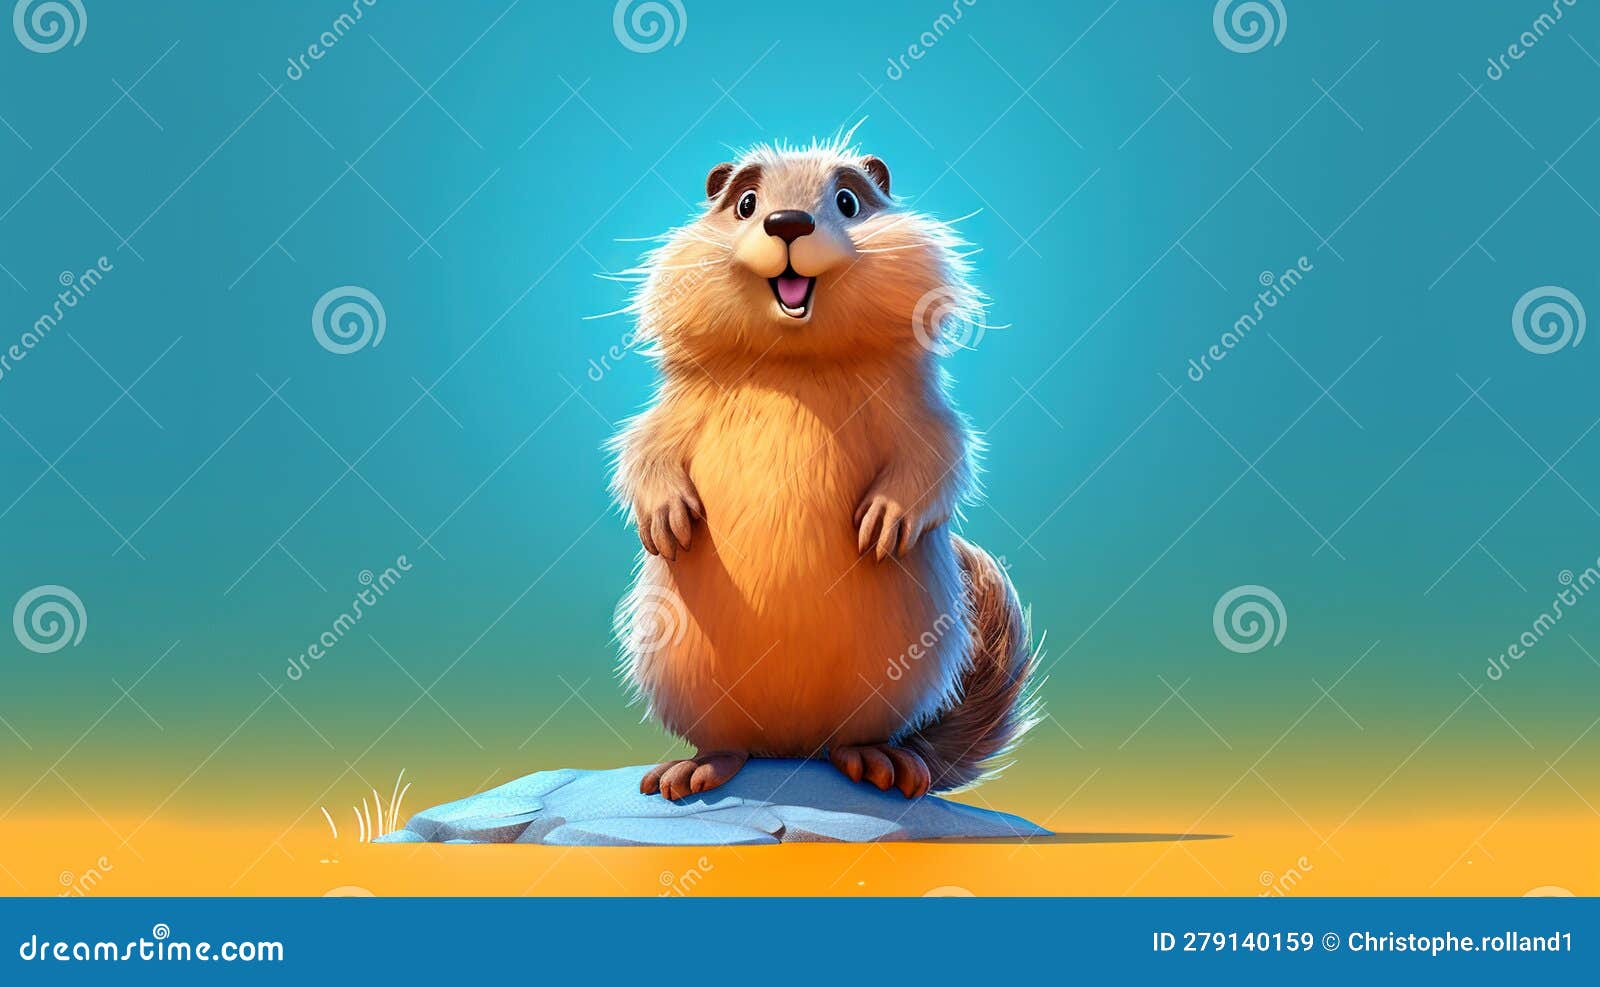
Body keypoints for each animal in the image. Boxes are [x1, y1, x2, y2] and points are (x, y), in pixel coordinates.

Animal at [609, 134, 1038, 801]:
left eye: (848, 200)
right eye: (745, 202)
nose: (787, 222)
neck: (795, 363)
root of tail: (791, 749)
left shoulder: (917, 409)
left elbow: (939, 451)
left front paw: (884, 522)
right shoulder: (674, 408)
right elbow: (643, 446)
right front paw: (667, 521)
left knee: (855, 739)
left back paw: (885, 765)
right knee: (726, 743)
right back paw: (691, 772)